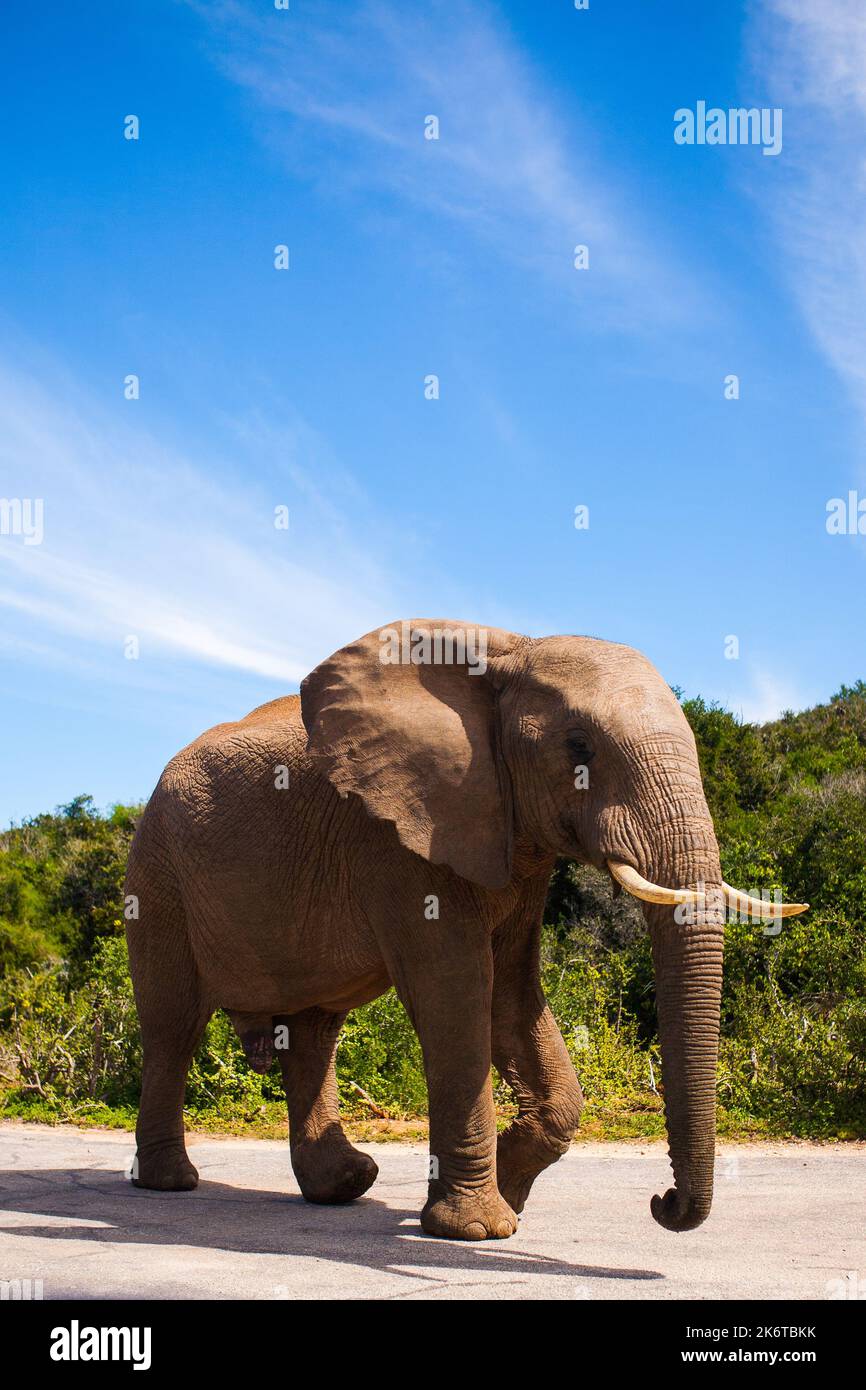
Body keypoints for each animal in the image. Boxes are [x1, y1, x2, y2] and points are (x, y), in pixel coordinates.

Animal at [125, 619, 806, 1239]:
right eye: (578, 747)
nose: (662, 1203)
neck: (509, 655)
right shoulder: (396, 837)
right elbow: (455, 991)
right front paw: (476, 1228)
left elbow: (512, 996)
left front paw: (506, 1197)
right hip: (158, 874)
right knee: (173, 1025)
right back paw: (170, 1183)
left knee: (313, 1033)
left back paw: (345, 1184)